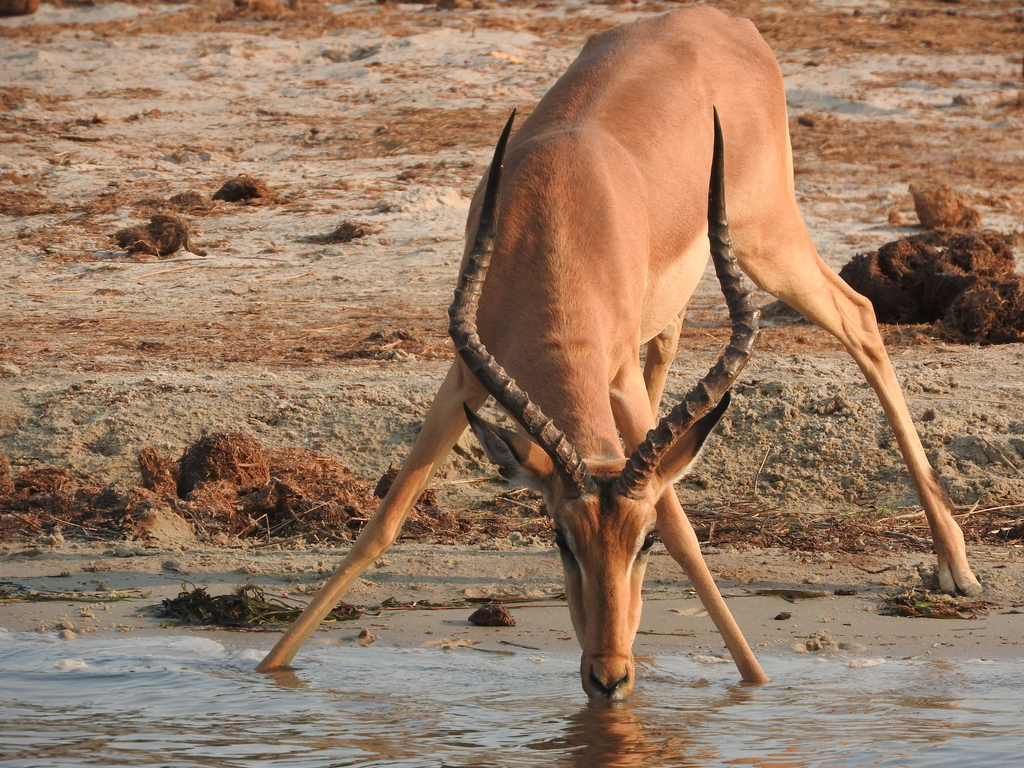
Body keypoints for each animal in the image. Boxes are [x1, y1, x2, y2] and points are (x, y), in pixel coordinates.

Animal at [257, 6, 981, 698]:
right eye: (560, 538)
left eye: (644, 541)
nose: (608, 676)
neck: (552, 216)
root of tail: (729, 25)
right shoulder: (464, 376)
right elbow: (384, 521)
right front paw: (271, 665)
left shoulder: (617, 385)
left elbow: (685, 530)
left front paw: (755, 679)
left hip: (763, 240)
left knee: (858, 316)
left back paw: (957, 568)